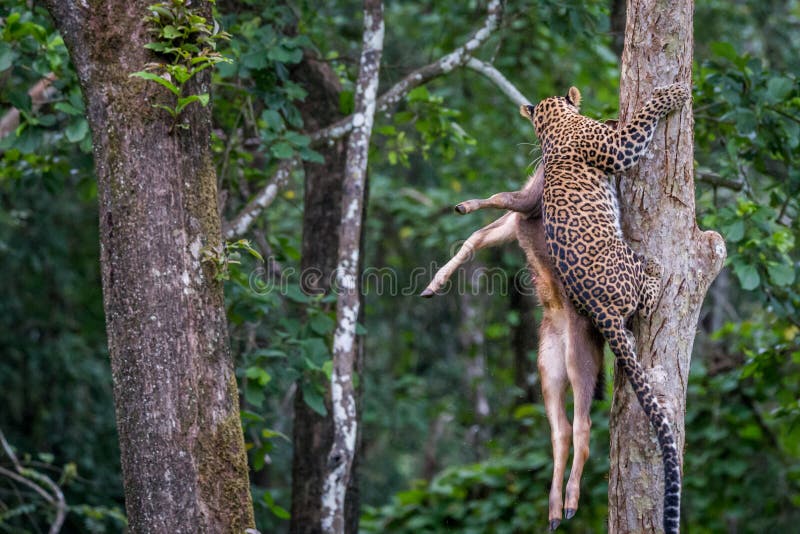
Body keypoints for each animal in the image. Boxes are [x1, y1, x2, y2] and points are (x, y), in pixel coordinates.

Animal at [519, 82, 690, 534]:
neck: (554, 126)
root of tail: (600, 311)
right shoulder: (617, 150)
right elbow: (638, 123)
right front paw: (673, 93)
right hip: (624, 256)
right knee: (645, 297)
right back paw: (655, 269)